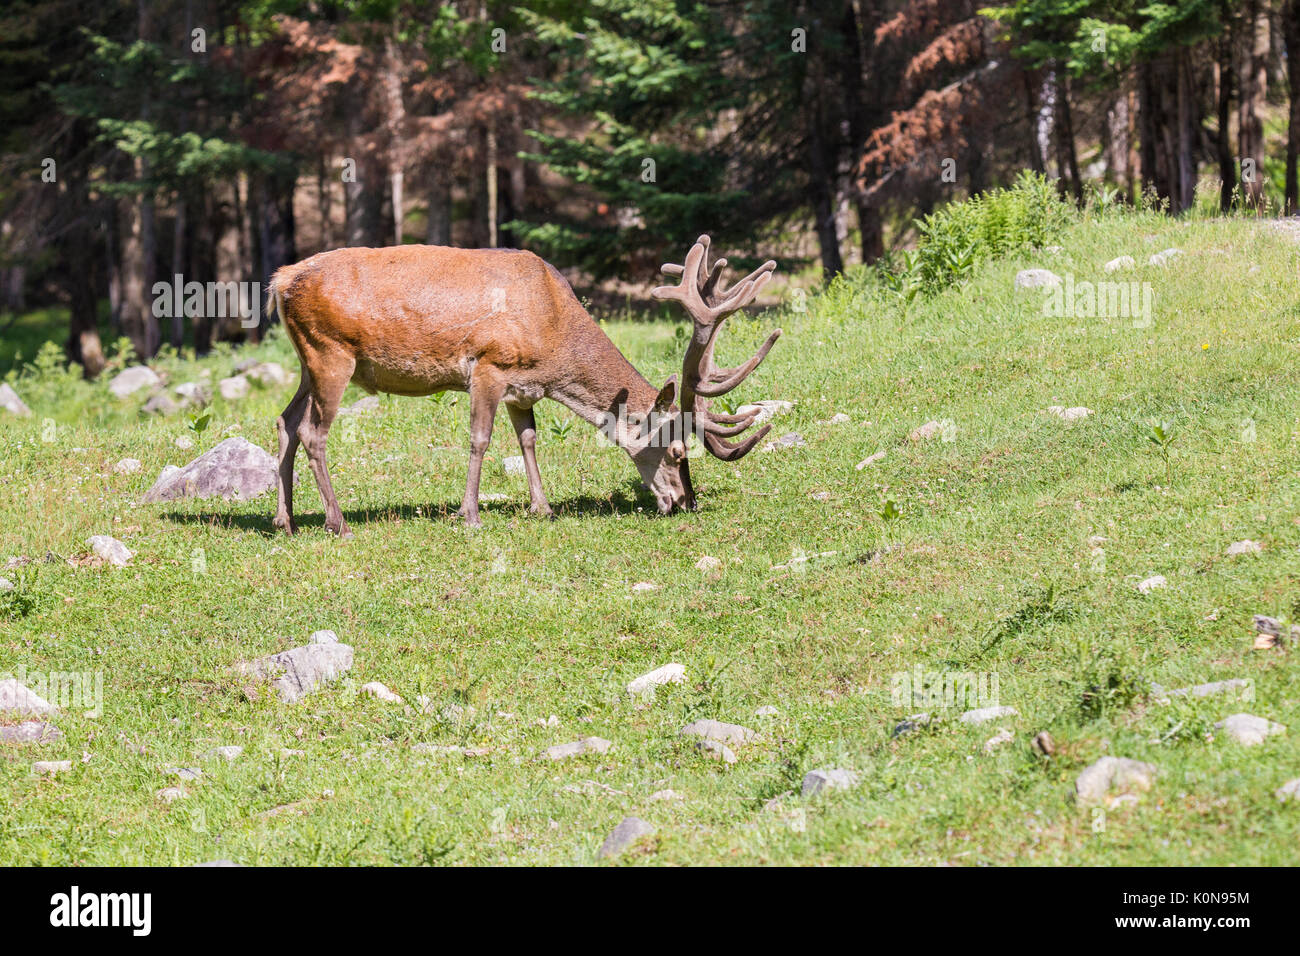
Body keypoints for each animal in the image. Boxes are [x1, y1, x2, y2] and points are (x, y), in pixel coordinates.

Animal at [265, 235, 781, 536]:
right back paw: (337, 522)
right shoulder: (489, 364)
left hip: (308, 361)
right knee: (313, 432)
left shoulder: (522, 387)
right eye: (676, 450)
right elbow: (480, 439)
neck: (553, 337)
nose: (684, 503)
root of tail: (280, 281)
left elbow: (528, 439)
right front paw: (470, 516)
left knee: (285, 421)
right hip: (331, 353)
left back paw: (285, 520)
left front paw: (542, 507)